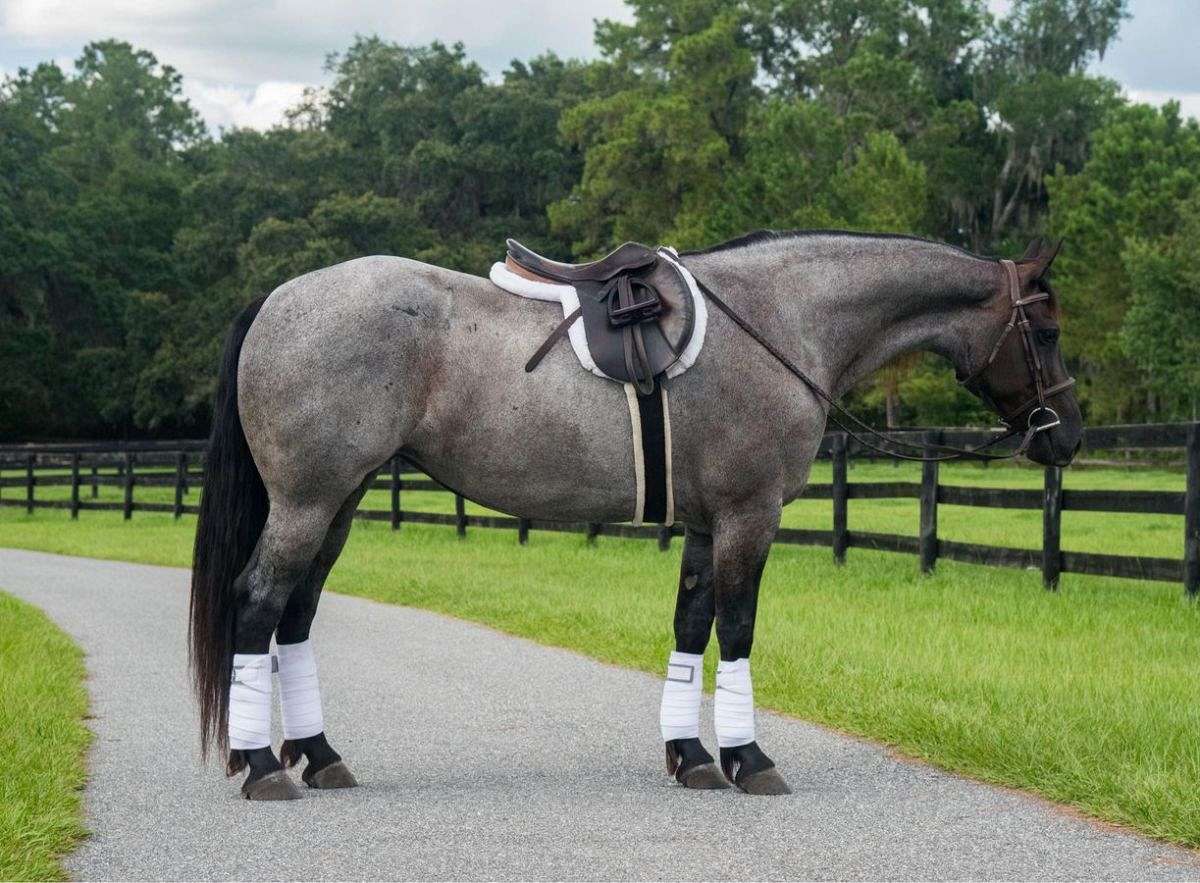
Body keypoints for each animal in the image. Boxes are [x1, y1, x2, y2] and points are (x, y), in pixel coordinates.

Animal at [189, 230, 1082, 800]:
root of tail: (278, 299)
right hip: (307, 501)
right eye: (1044, 329)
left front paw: (691, 756)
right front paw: (748, 758)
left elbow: (691, 626)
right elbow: (739, 627)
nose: (1065, 435)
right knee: (259, 604)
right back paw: (262, 766)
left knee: (296, 614)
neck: (783, 318)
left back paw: (318, 756)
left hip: (339, 500)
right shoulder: (750, 514)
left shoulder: (706, 521)